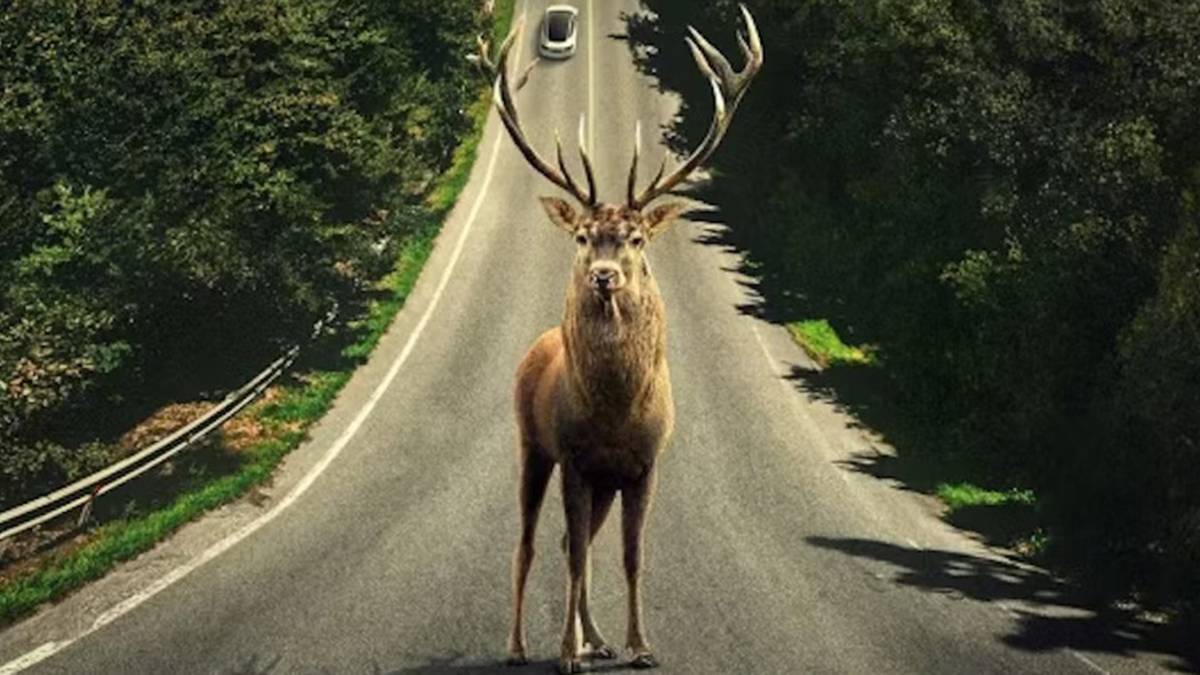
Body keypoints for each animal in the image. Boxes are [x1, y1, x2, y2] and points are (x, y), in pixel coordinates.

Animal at [477, 6, 762, 673]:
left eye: (634, 237)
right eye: (583, 236)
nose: (604, 275)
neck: (612, 413)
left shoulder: (643, 464)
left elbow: (630, 556)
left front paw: (637, 644)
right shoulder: (575, 458)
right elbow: (575, 556)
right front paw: (566, 654)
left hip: (601, 482)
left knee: (570, 542)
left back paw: (596, 637)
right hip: (533, 445)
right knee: (531, 542)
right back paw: (521, 645)